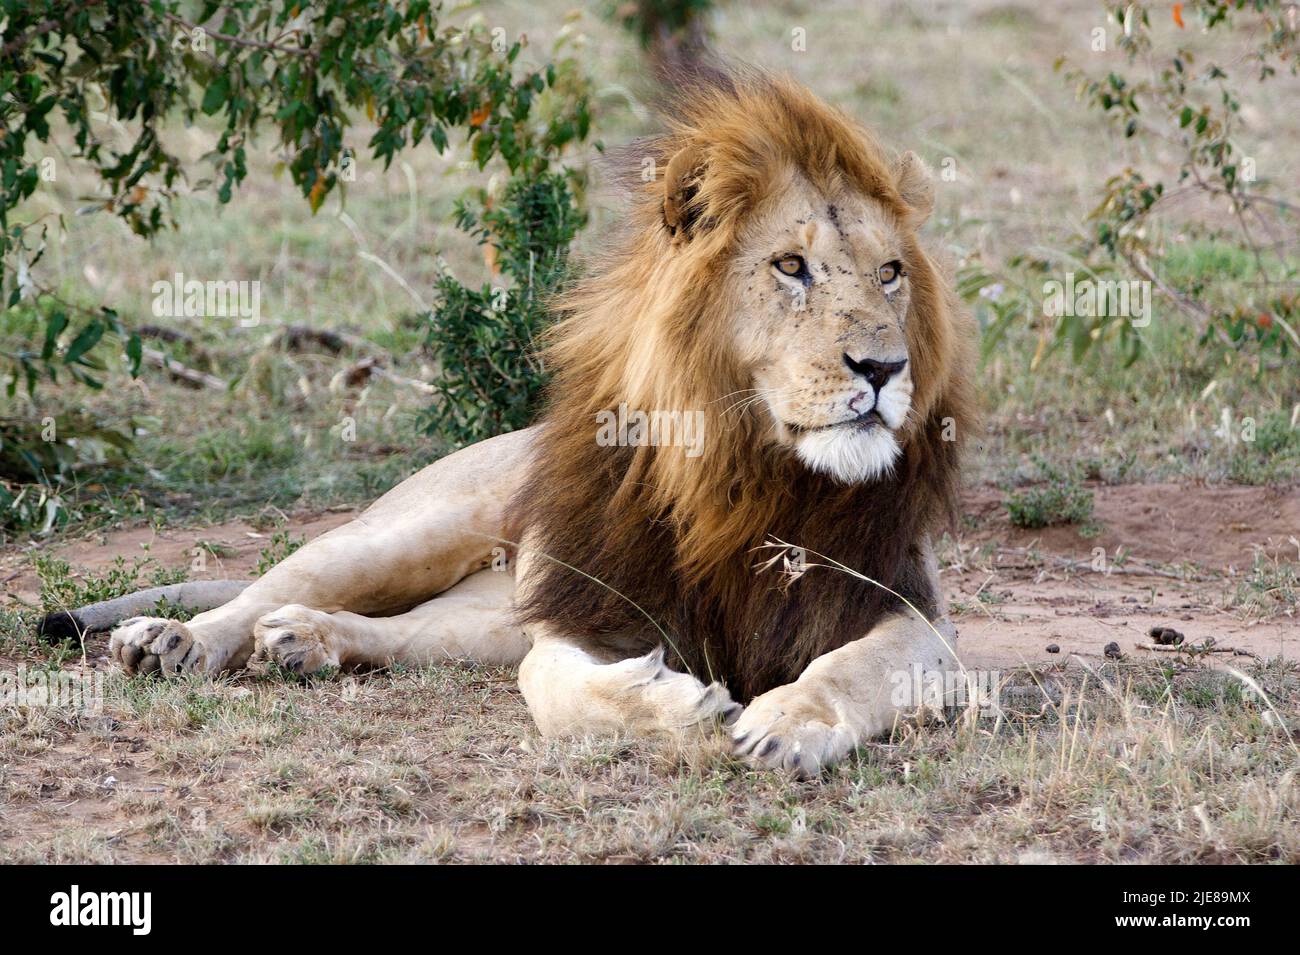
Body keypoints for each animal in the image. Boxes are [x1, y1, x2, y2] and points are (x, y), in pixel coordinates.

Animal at [88, 69, 977, 776]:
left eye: (890, 273)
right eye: (791, 266)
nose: (883, 367)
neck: (743, 470)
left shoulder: (918, 620)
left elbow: (848, 669)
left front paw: (785, 723)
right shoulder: (585, 613)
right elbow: (561, 690)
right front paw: (682, 709)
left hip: (489, 612)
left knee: (404, 631)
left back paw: (303, 641)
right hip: (409, 532)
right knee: (272, 586)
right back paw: (170, 639)